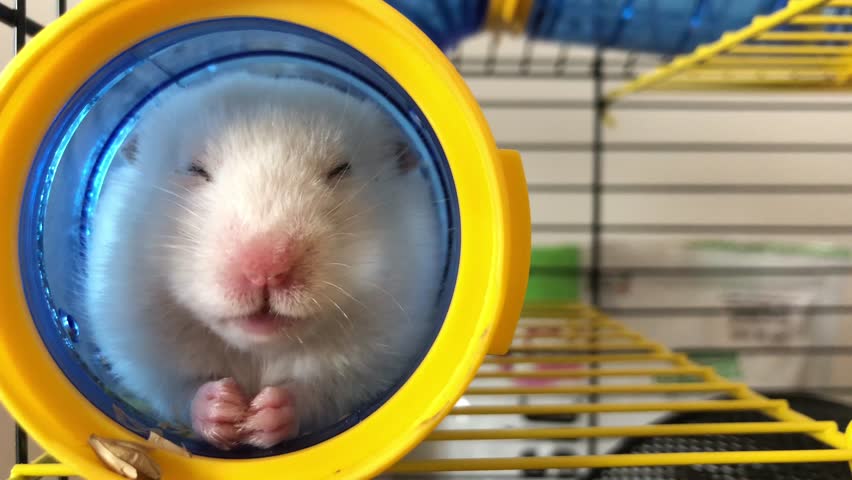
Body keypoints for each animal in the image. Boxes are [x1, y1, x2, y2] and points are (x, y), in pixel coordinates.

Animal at [82, 71, 443, 450]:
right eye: (195, 169)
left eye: (340, 170)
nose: (265, 269)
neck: (259, 348)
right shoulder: (144, 355)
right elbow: (184, 391)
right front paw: (226, 409)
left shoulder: (371, 364)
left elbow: (314, 394)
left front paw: (259, 417)